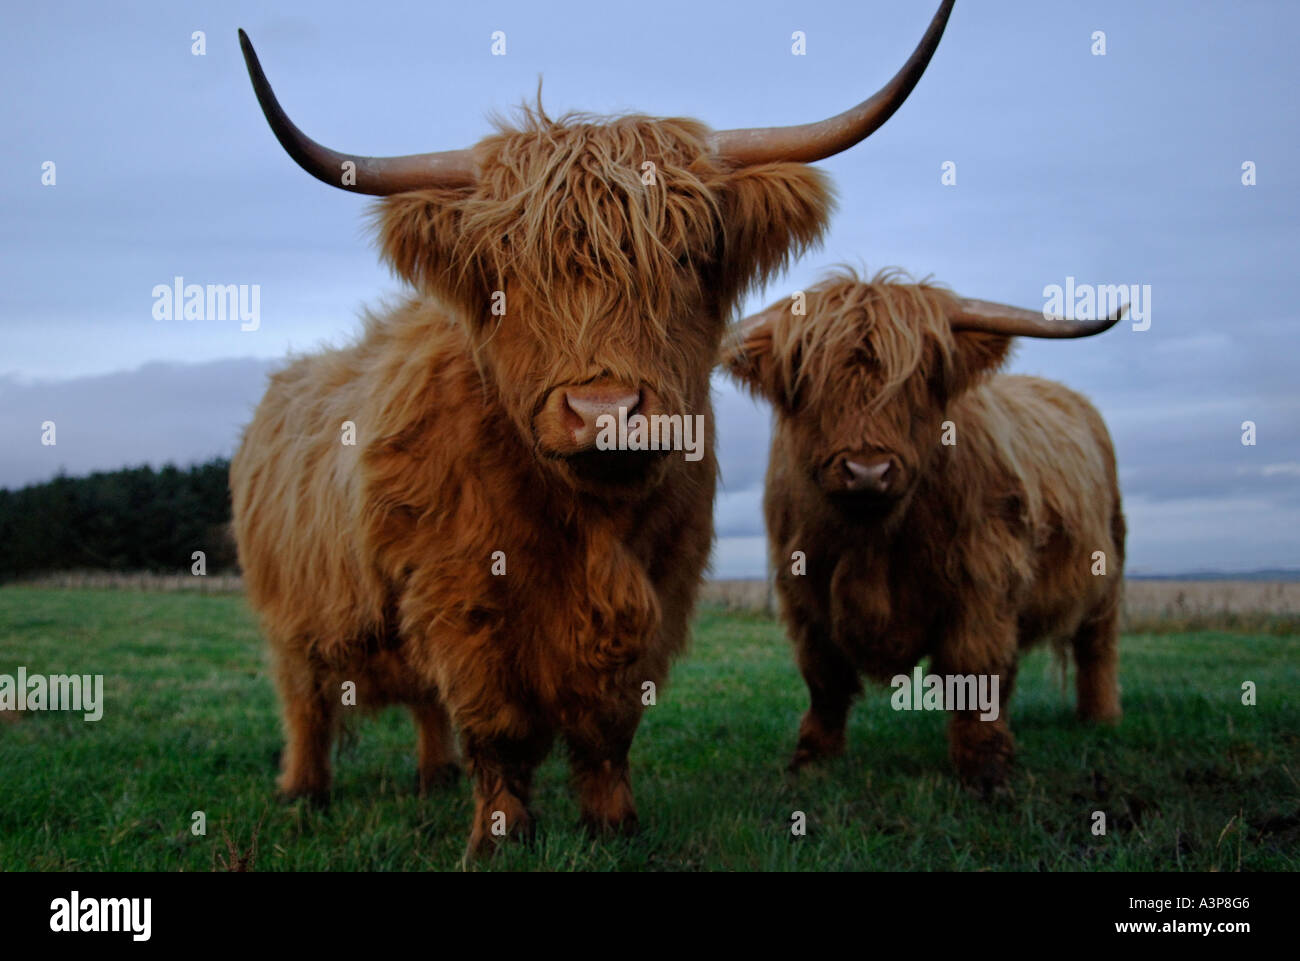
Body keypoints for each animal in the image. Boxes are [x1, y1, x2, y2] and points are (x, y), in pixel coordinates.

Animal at [229, 4, 954, 856]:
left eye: (686, 256)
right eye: (509, 275)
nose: (604, 411)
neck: (584, 524)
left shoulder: (658, 587)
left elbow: (608, 723)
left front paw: (613, 822)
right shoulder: (461, 600)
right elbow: (498, 727)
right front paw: (499, 835)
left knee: (419, 705)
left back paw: (433, 774)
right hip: (290, 616)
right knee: (305, 700)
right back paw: (304, 790)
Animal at [721, 268, 1125, 792]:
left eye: (918, 379)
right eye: (810, 379)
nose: (867, 471)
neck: (873, 539)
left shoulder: (984, 577)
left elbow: (976, 669)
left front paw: (986, 771)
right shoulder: (801, 589)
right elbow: (824, 677)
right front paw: (811, 759)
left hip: (1108, 571)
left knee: (1097, 645)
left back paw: (1101, 717)